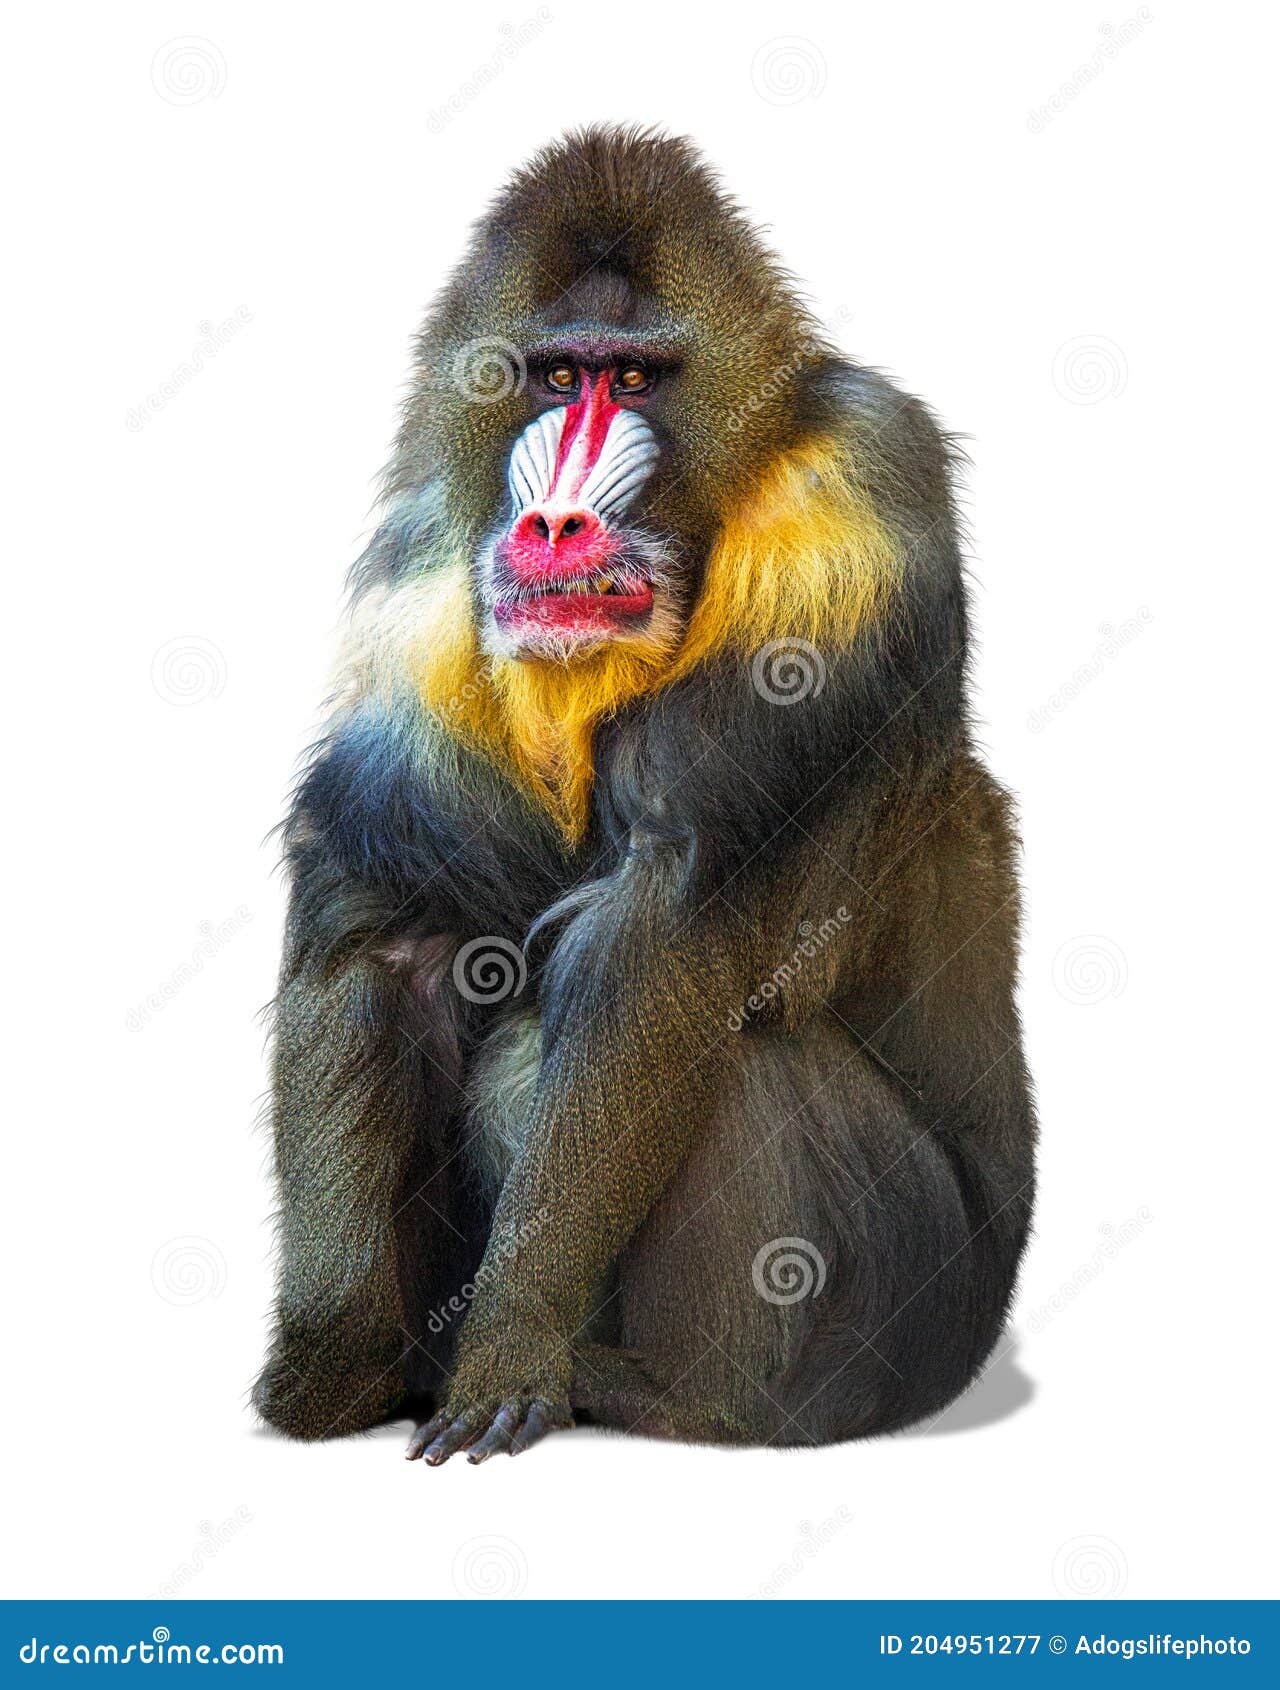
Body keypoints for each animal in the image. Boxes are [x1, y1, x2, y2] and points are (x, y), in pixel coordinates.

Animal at [253, 125, 1035, 1464]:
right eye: (555, 379)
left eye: (630, 378)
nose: (555, 523)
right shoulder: (421, 573)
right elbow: (383, 925)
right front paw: (332, 1373)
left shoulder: (856, 492)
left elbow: (665, 906)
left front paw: (508, 1347)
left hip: (911, 1298)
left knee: (700, 1037)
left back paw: (675, 1397)